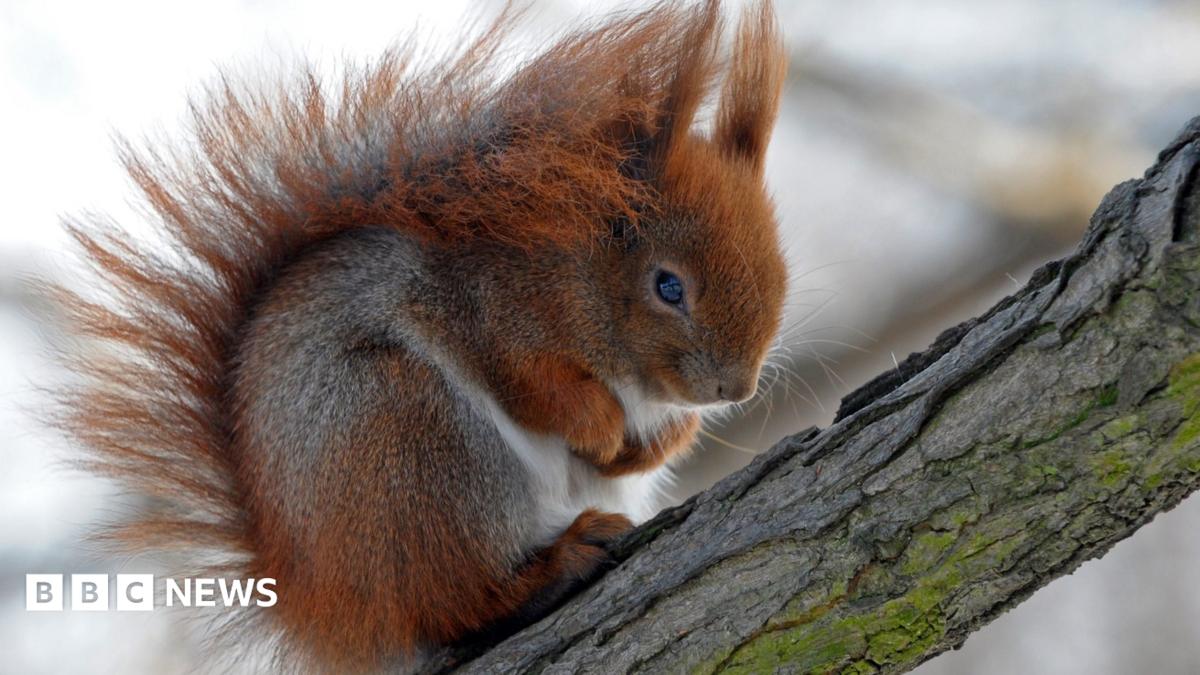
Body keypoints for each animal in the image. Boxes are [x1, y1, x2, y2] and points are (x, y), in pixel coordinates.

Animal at [51, 0, 788, 671]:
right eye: (668, 286)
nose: (736, 388)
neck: (577, 273)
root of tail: (325, 604)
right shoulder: (485, 310)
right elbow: (534, 387)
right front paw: (600, 425)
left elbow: (656, 442)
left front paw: (648, 443)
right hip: (417, 442)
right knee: (456, 603)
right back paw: (553, 567)